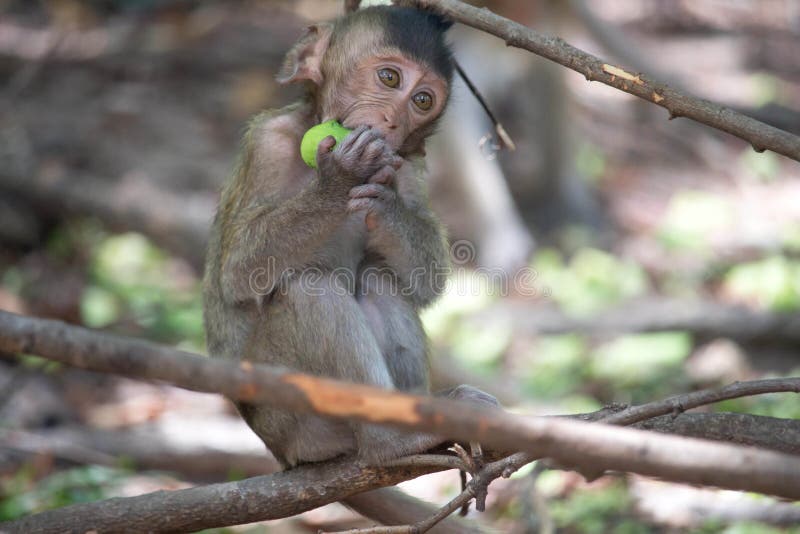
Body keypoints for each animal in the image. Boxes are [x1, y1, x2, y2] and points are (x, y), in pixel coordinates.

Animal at [203, 5, 498, 528]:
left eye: (422, 101)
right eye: (389, 78)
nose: (392, 121)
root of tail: (282, 455)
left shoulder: (410, 167)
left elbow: (425, 283)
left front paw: (385, 204)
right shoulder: (267, 144)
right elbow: (238, 271)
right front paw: (341, 178)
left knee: (379, 279)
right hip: (291, 420)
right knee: (309, 289)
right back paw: (390, 442)